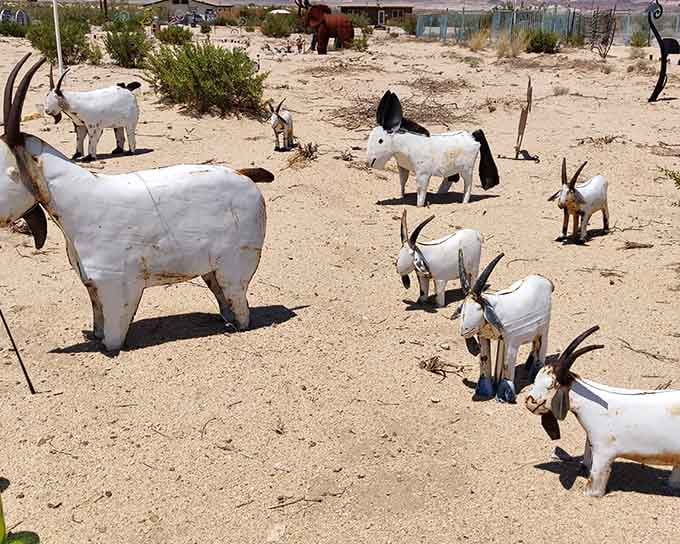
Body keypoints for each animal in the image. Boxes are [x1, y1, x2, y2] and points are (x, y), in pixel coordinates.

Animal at [0, 54, 273, 352]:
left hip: (234, 267)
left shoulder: (116, 286)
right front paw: (95, 337)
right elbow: (98, 320)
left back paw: (237, 326)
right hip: (212, 270)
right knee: (225, 300)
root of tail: (245, 174)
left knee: (240, 304)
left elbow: (112, 339)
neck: (75, 198)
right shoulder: (93, 286)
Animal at [367, 90, 499, 207]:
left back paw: (464, 202)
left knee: (468, 184)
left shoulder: (423, 174)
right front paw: (402, 196)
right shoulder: (403, 167)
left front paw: (419, 206)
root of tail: (472, 136)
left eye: (380, 141)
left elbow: (421, 192)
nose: (369, 161)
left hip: (466, 169)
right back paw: (440, 193)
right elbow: (403, 182)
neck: (407, 145)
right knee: (451, 178)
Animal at [454, 252, 553, 403]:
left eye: (479, 308)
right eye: (463, 307)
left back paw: (535, 374)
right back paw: (528, 365)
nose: (464, 331)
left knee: (541, 348)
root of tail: (546, 282)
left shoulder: (511, 342)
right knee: (534, 344)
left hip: (544, 330)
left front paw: (505, 396)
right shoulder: (484, 337)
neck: (494, 308)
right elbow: (484, 360)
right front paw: (485, 391)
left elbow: (506, 365)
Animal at [526, 325, 680, 497]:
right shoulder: (591, 441)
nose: (529, 402)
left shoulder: (604, 452)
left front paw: (590, 494)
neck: (593, 404)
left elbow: (596, 480)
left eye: (552, 385)